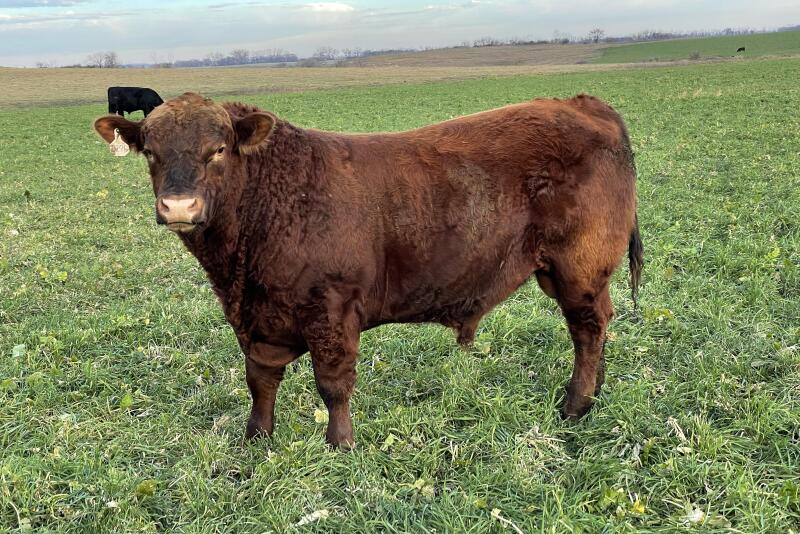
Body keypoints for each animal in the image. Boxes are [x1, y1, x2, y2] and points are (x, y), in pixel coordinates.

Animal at [94, 92, 643, 448]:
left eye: (218, 150)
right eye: (150, 152)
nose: (178, 207)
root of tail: (581, 103)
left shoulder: (331, 309)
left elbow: (333, 383)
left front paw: (340, 443)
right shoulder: (256, 316)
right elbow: (260, 379)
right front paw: (257, 439)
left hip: (578, 268)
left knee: (588, 328)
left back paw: (576, 404)